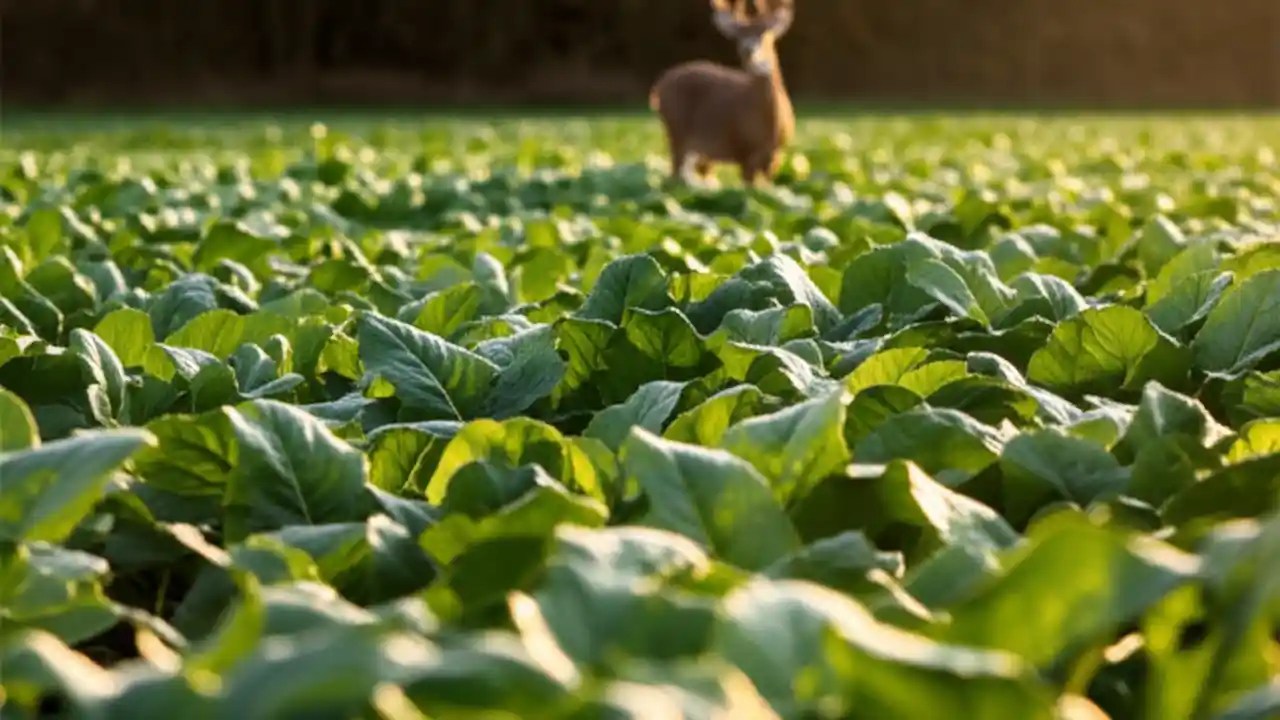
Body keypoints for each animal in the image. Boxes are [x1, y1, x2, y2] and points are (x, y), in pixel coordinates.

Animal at [649, 0, 796, 188]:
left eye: (764, 33)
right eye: (739, 35)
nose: (748, 50)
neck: (771, 125)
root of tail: (659, 84)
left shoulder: (776, 155)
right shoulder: (744, 152)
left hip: (701, 152)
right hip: (676, 131)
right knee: (674, 175)